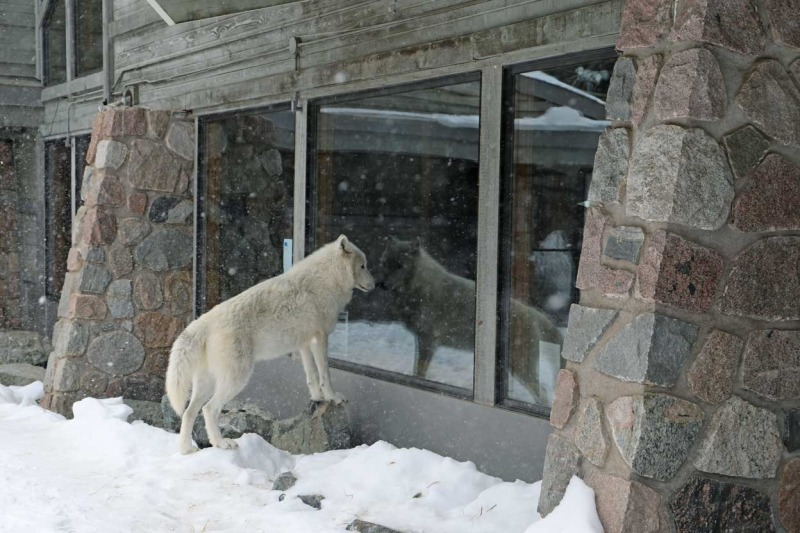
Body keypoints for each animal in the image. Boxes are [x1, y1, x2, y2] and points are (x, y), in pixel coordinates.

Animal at [166, 235, 375, 454]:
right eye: (363, 266)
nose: (375, 284)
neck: (327, 279)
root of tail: (203, 321)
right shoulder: (320, 338)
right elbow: (325, 375)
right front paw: (333, 398)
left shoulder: (305, 343)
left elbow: (312, 377)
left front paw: (318, 399)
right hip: (236, 380)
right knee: (209, 409)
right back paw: (221, 443)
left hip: (206, 384)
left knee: (189, 413)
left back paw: (187, 450)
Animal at [379, 237, 562, 399]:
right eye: (385, 263)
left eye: (399, 266)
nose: (381, 285)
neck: (419, 287)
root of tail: (534, 313)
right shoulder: (421, 339)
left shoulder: (428, 341)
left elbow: (420, 373)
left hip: (521, 368)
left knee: (543, 393)